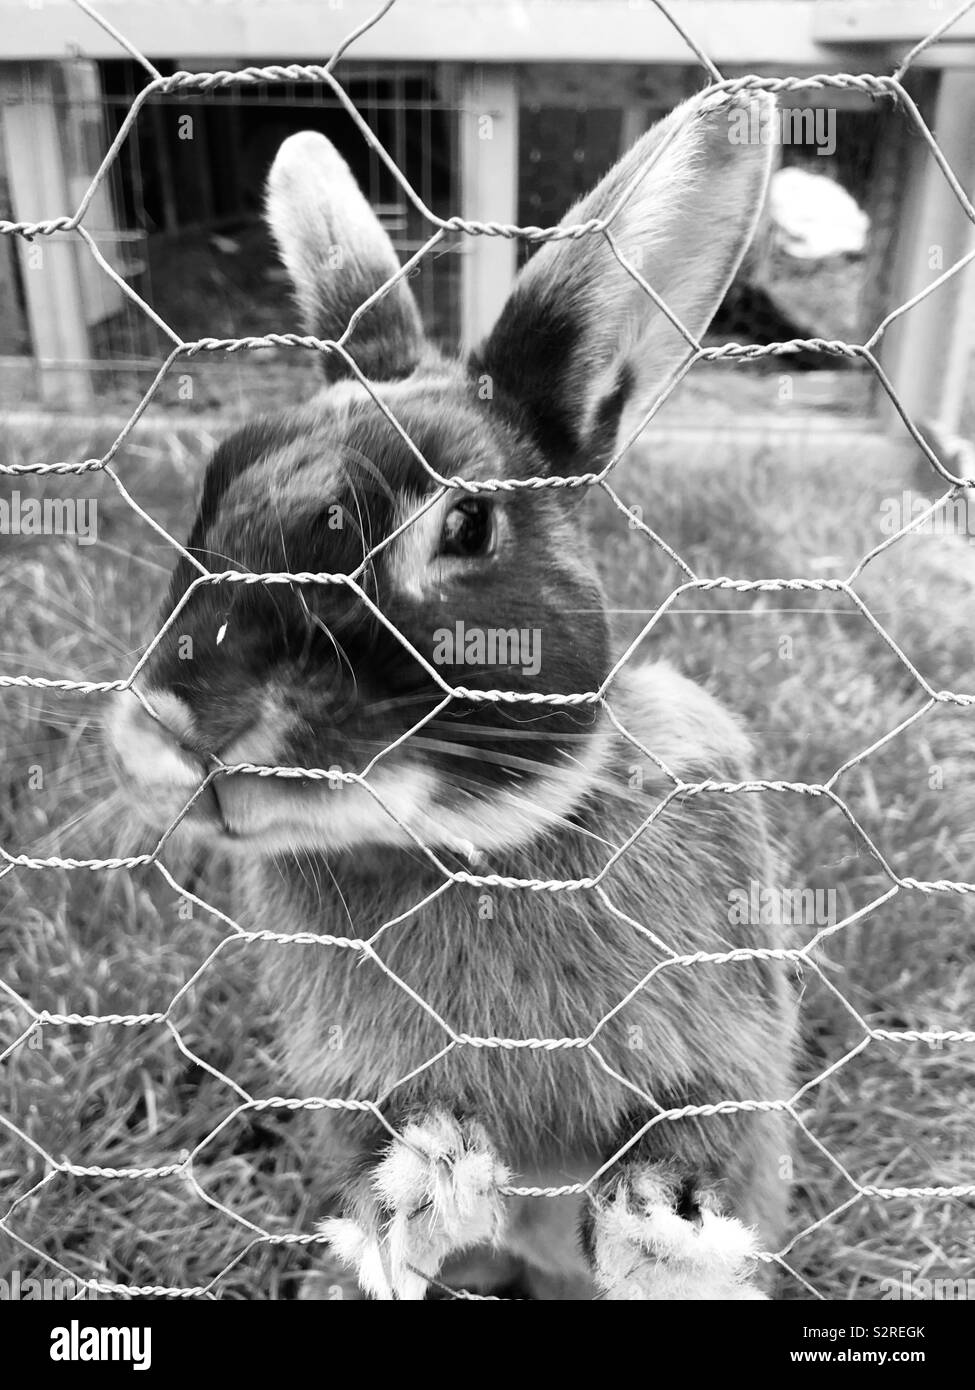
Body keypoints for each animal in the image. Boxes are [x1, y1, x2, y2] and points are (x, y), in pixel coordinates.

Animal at [107, 88, 796, 1300]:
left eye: (468, 524)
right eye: (218, 479)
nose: (181, 724)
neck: (466, 842)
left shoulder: (727, 1054)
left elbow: (691, 1151)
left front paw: (660, 1238)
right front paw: (428, 1197)